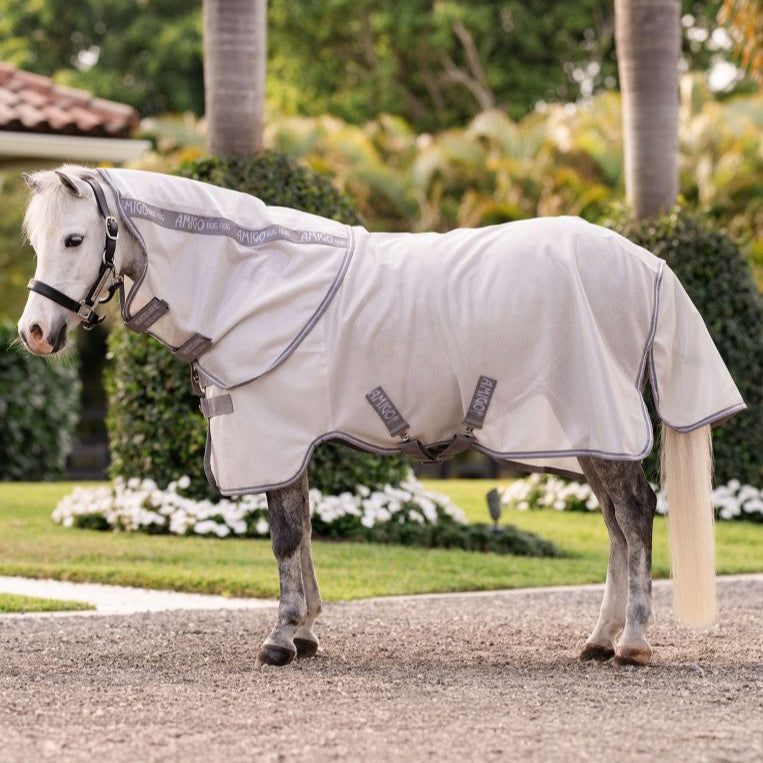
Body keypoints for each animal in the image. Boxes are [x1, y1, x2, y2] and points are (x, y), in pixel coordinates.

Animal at [17, 165, 745, 668]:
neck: (250, 279)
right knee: (619, 526)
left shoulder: (275, 433)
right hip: (589, 434)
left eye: (76, 238)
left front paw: (281, 638)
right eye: (35, 238)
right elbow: (303, 530)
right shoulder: (292, 441)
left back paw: (633, 642)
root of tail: (644, 263)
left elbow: (284, 536)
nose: (35, 332)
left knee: (634, 516)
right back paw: (598, 639)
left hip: (599, 423)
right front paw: (306, 629)